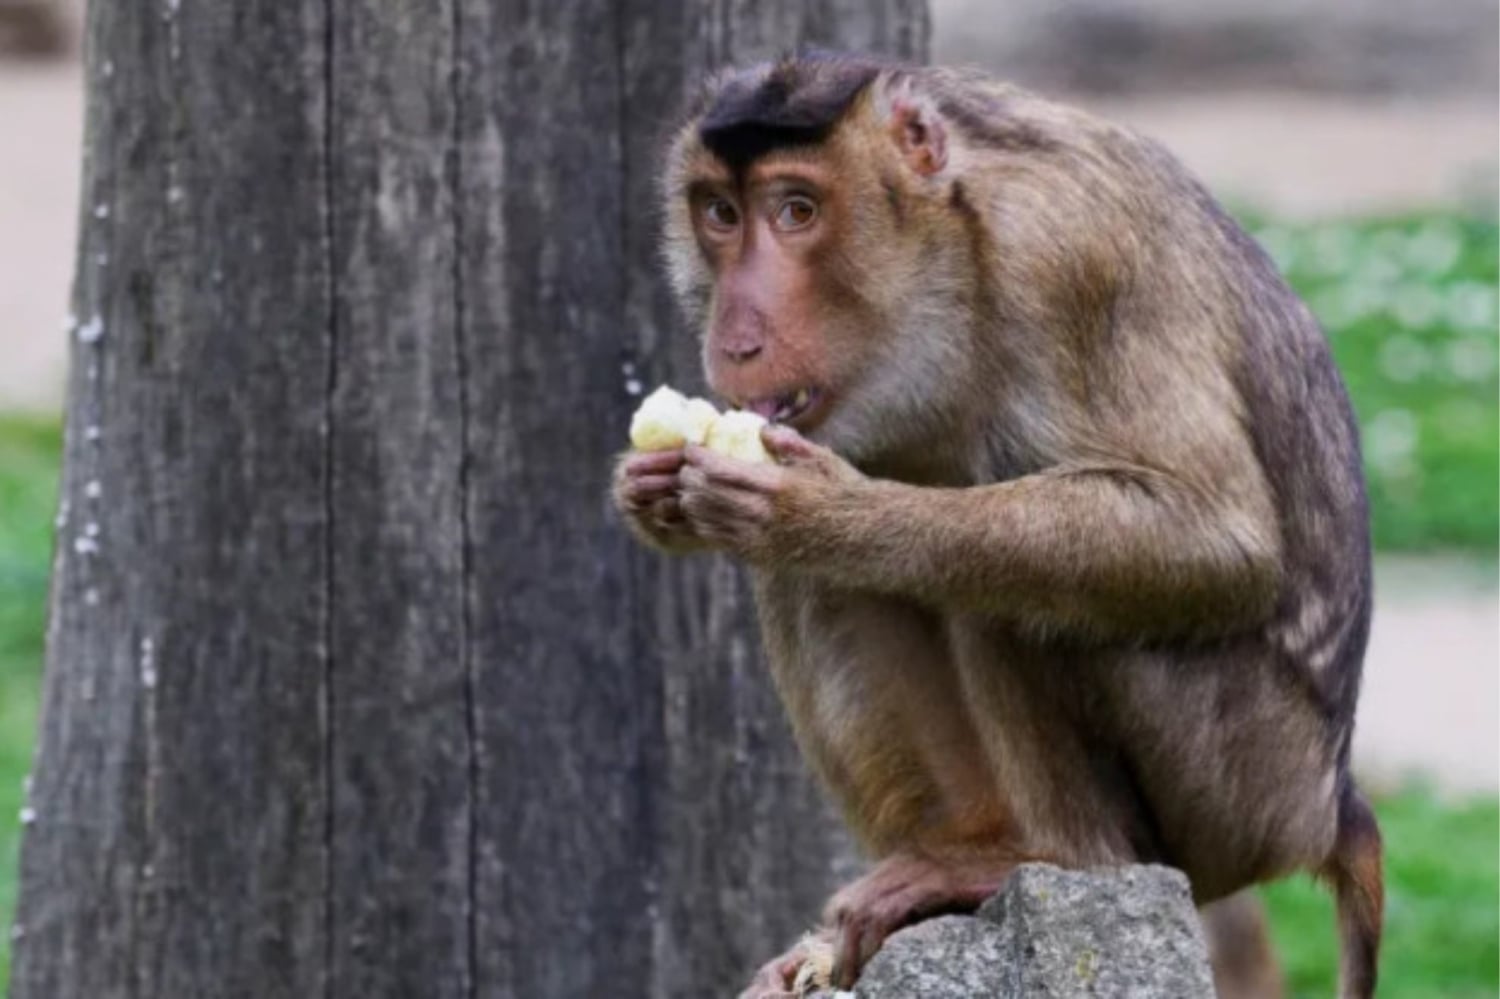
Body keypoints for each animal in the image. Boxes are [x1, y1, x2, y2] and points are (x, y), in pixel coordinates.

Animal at [612, 53, 1381, 999]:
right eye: (720, 214)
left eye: (797, 210)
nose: (737, 337)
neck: (955, 241)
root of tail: (1331, 803)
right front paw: (652, 489)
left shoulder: (1072, 255)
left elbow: (1214, 539)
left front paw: (818, 513)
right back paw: (953, 861)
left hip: (1239, 788)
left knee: (1011, 586)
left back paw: (1056, 858)